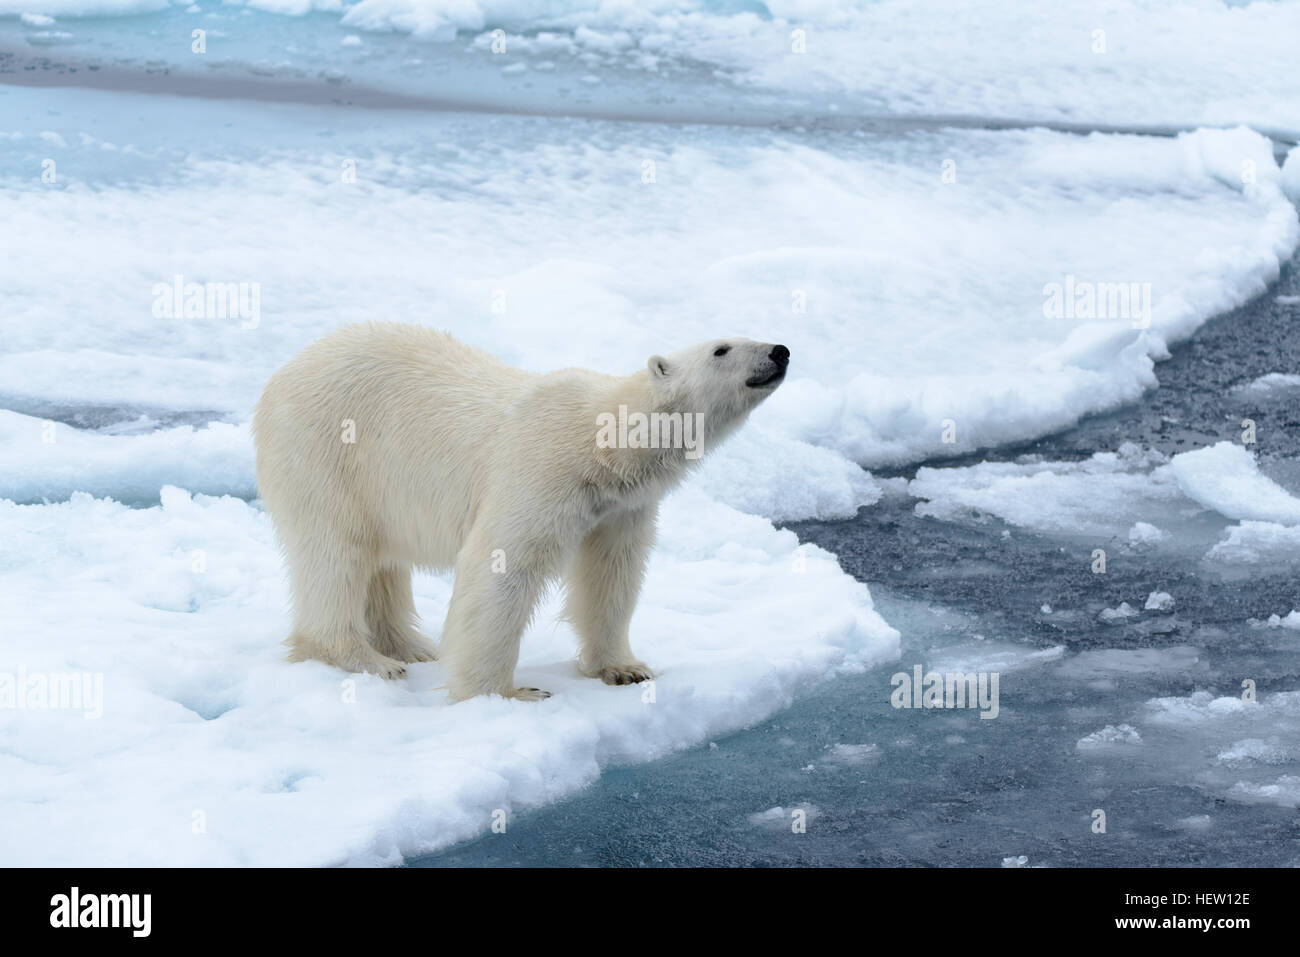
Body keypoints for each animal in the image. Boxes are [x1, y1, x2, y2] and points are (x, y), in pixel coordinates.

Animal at [252, 322, 789, 701]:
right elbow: (500, 567)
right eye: (721, 349)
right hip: (325, 449)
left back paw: (412, 646)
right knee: (334, 553)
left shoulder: (621, 507)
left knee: (382, 563)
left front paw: (624, 668)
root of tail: (282, 373)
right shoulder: (540, 472)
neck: (603, 443)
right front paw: (507, 693)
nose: (780, 350)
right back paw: (367, 659)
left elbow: (611, 573)